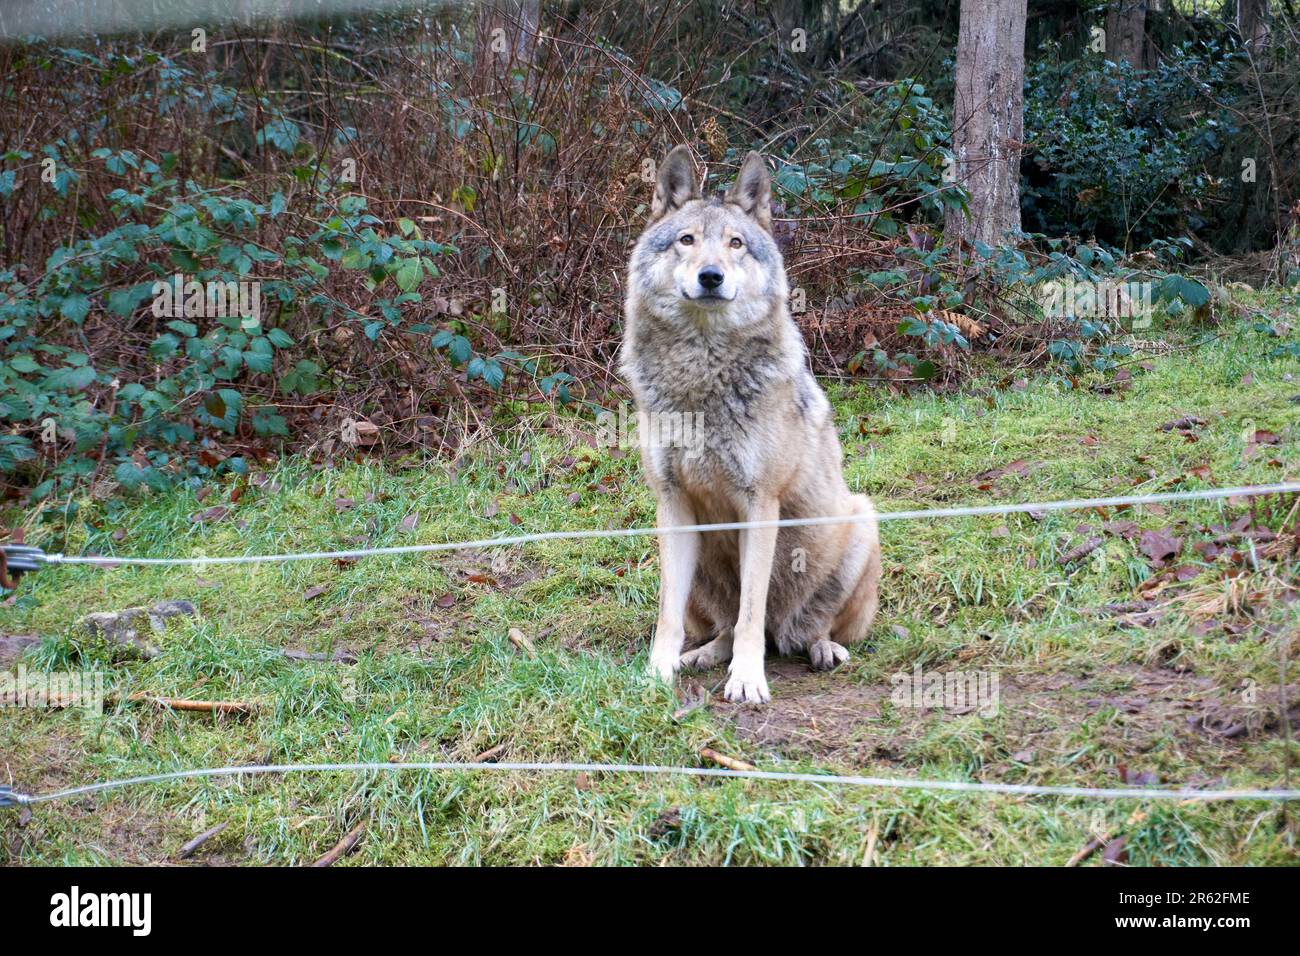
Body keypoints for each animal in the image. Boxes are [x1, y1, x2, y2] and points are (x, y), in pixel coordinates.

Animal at [619, 145, 882, 704]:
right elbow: (668, 615)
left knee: (803, 627)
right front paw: (658, 672)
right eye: (687, 240)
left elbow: (750, 613)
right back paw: (700, 656)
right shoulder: (672, 504)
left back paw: (822, 649)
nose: (711, 276)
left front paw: (746, 680)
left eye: (735, 244)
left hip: (859, 521)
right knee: (723, 626)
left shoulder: (760, 504)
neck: (701, 372)